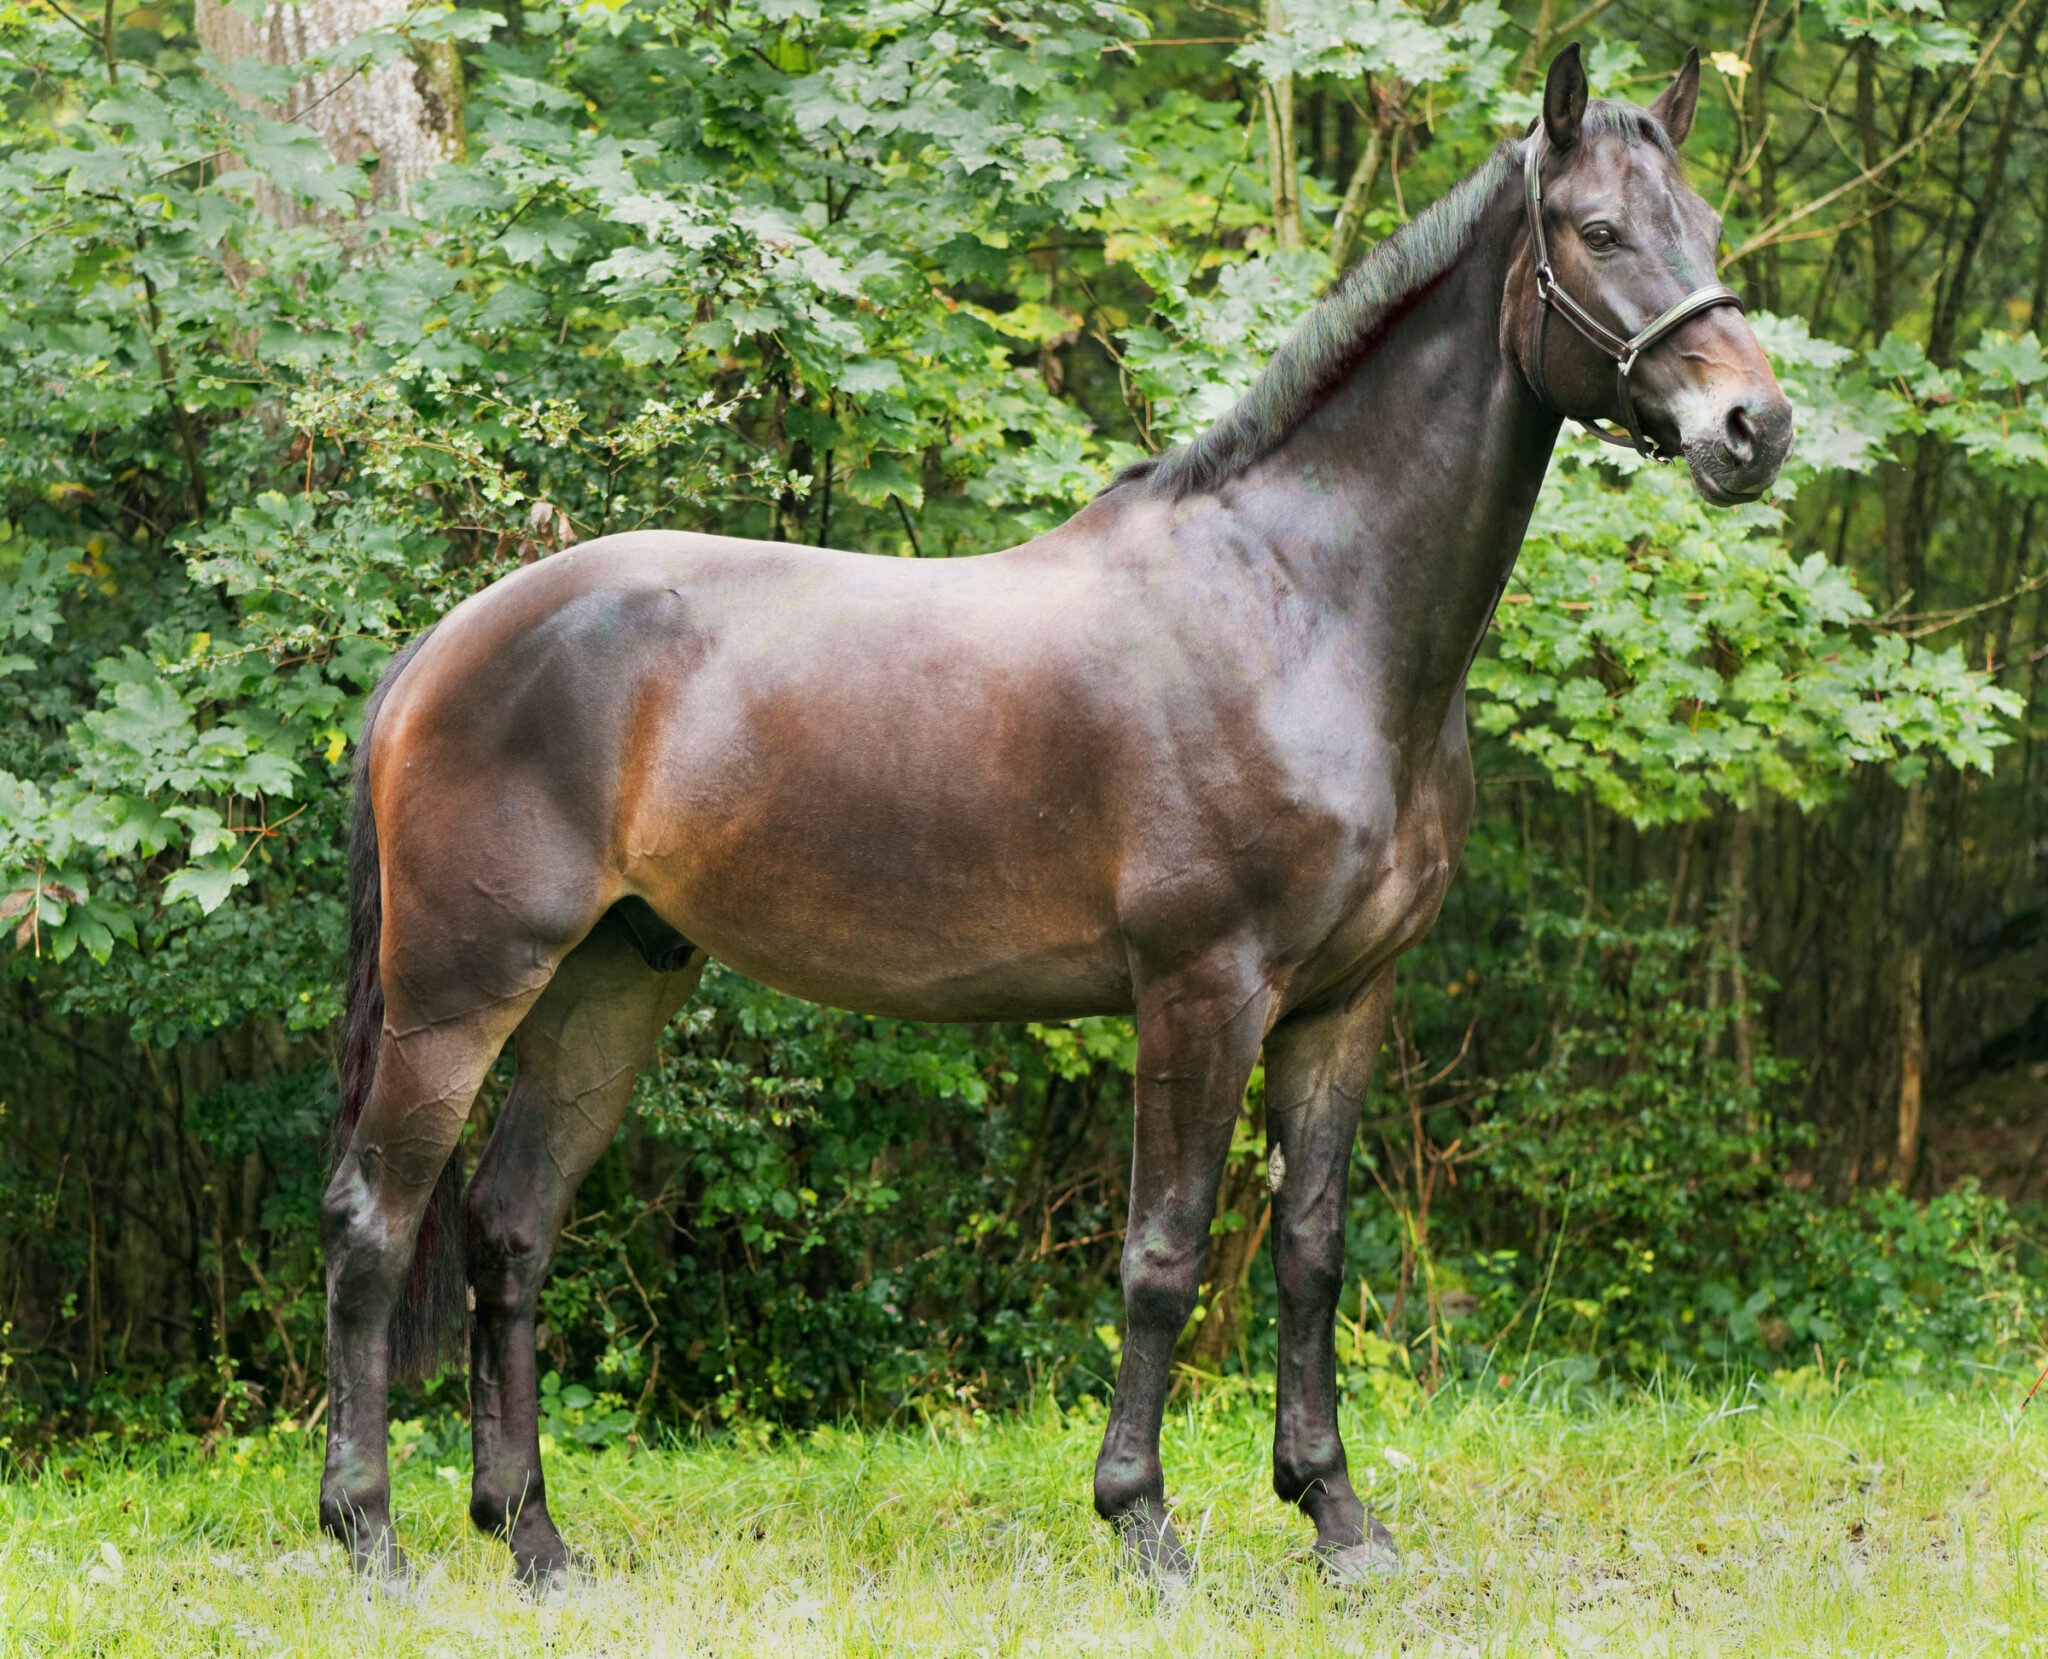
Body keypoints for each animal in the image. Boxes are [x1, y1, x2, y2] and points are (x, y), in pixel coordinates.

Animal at [317, 44, 1792, 1591]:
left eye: (1703, 224)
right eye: (1598, 232)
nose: (1752, 428)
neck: (1301, 601)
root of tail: (440, 647)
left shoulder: (1344, 1003)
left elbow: (1312, 1248)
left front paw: (1335, 1514)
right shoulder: (1202, 988)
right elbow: (1162, 1252)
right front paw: (1143, 1519)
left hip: (608, 984)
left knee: (509, 1230)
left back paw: (534, 1537)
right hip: (460, 991)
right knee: (375, 1224)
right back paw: (370, 1535)